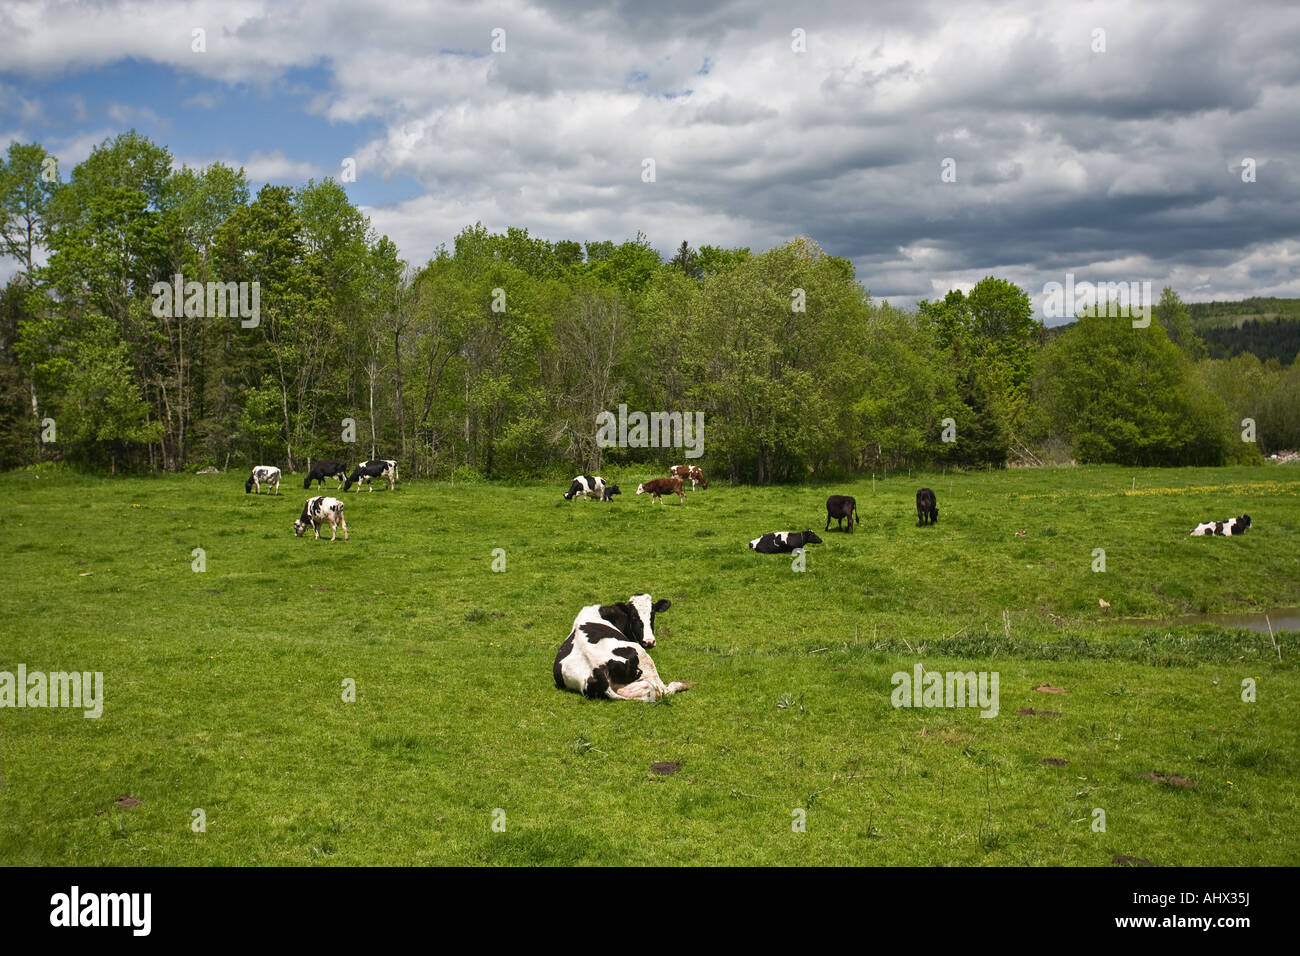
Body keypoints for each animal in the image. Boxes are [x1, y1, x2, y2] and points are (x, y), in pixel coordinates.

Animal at [552, 594, 690, 702]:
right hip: (643, 657)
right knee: (662, 690)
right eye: (633, 616)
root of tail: (597, 669)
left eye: (652, 615)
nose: (649, 642)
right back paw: (680, 685)